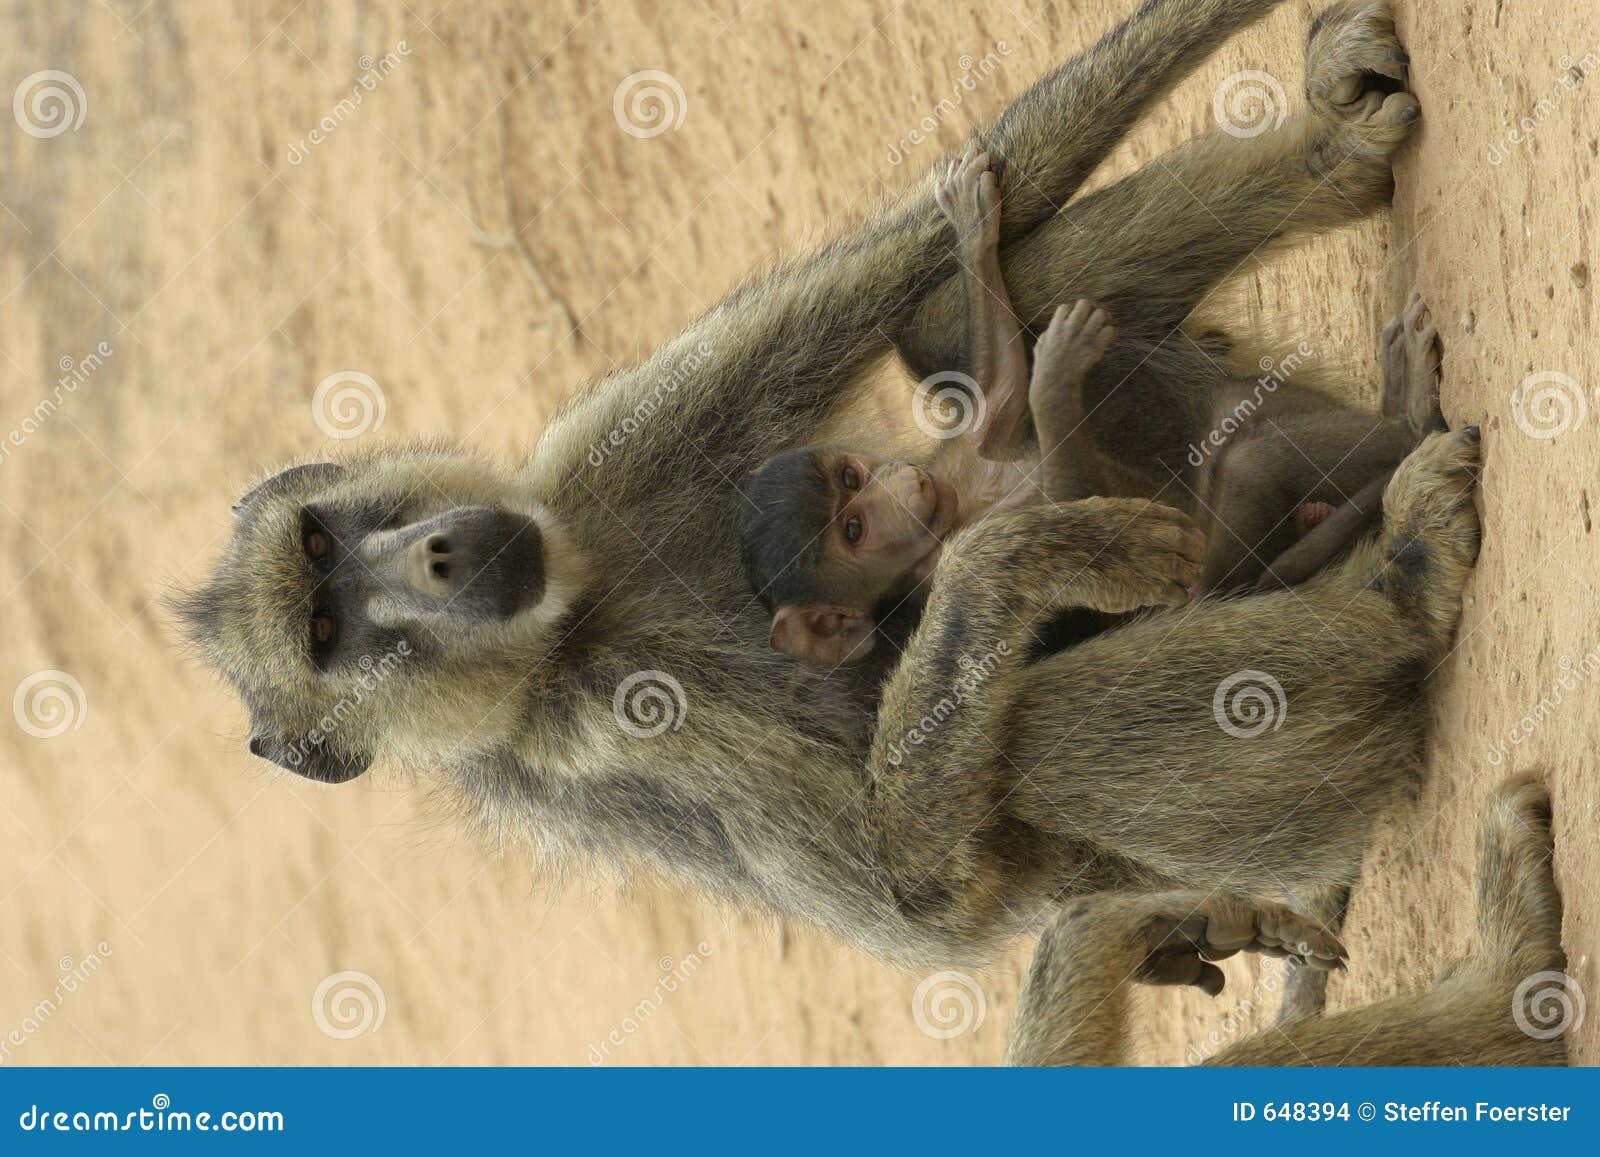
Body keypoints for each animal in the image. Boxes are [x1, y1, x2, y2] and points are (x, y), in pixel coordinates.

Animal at [179, 0, 1471, 992]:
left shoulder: (603, 460)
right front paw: (1037, 552)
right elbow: (923, 886)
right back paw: (1399, 570)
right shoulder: (591, 729)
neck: (575, 615)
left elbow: (890, 275)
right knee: (1050, 737)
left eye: (326, 539)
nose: (439, 555)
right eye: (329, 628)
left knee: (948, 318)